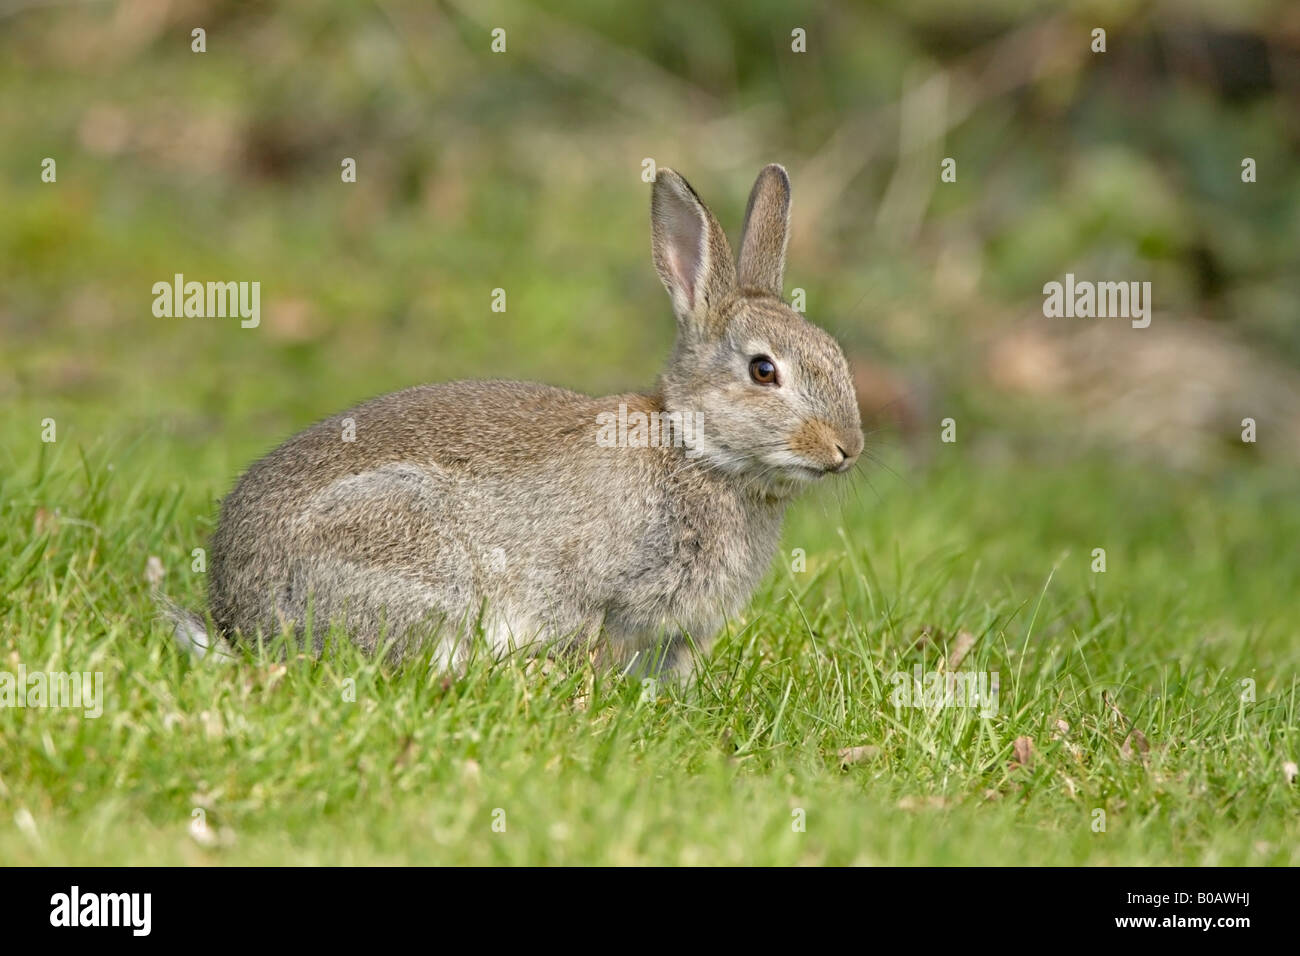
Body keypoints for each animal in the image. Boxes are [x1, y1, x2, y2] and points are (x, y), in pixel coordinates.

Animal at [186, 164, 863, 679]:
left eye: (833, 350)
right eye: (763, 371)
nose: (847, 448)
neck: (695, 449)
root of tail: (235, 607)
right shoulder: (605, 597)